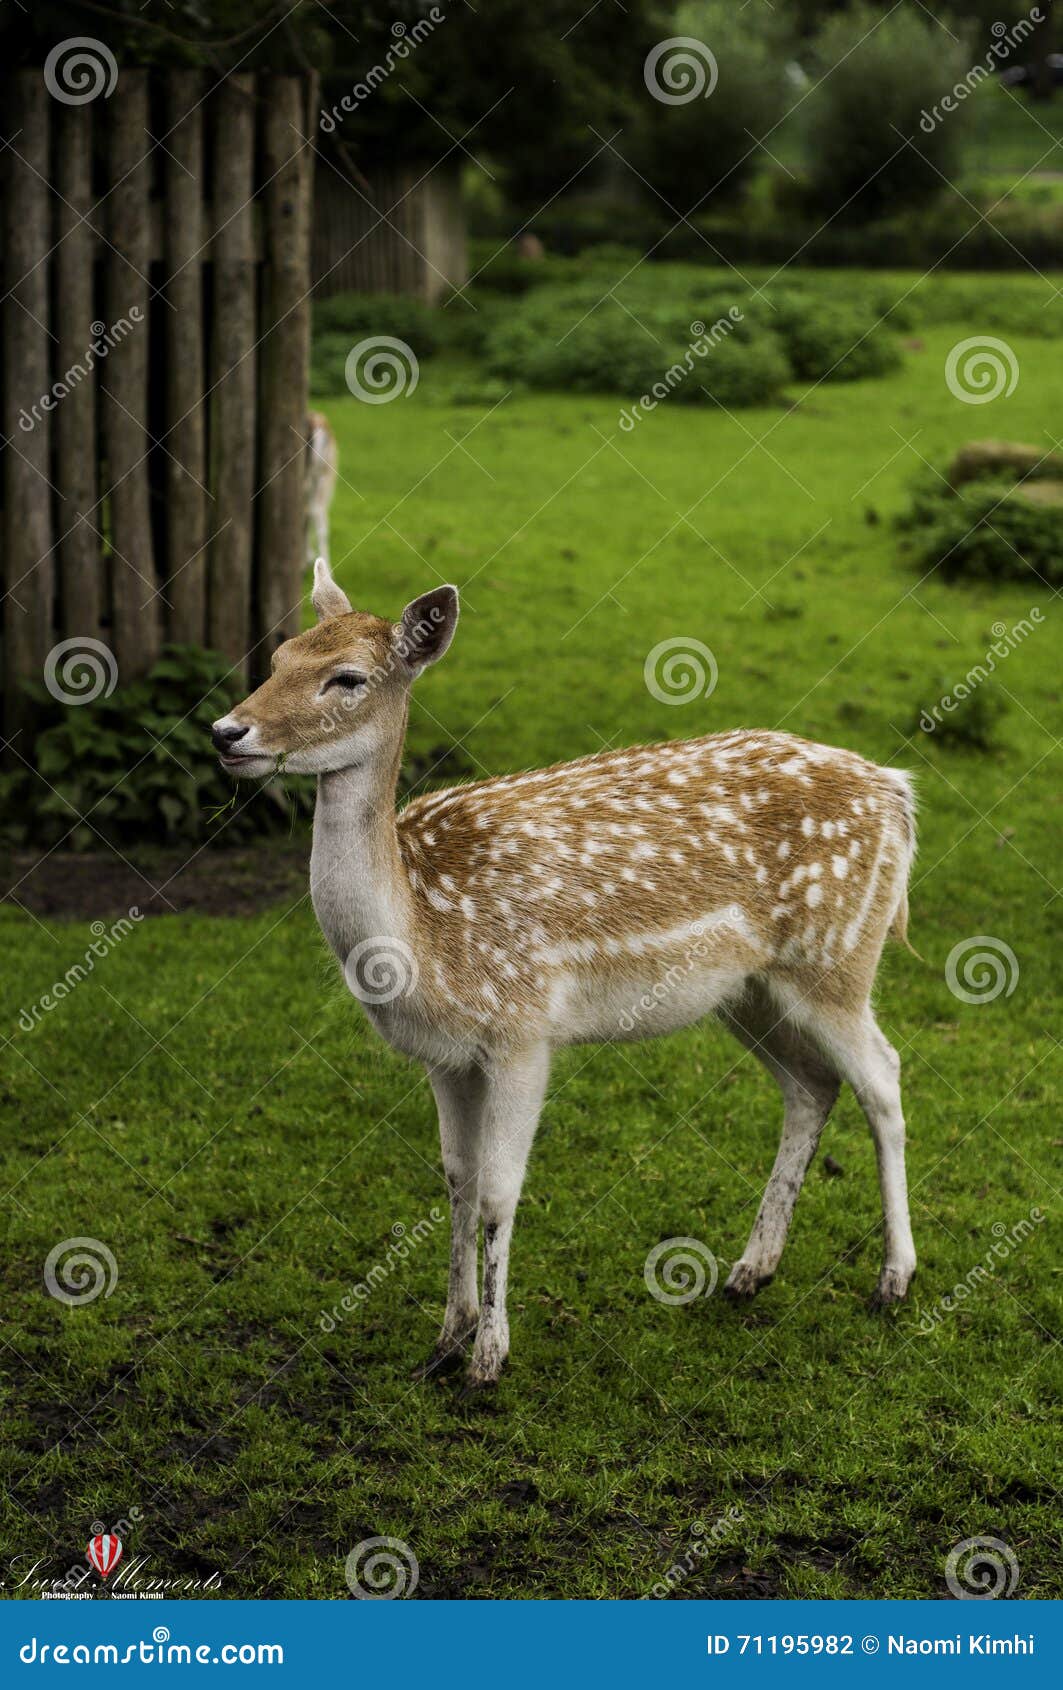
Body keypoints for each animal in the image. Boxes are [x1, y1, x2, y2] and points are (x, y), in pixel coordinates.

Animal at [211, 560, 918, 1395]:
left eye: (346, 677)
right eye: (280, 656)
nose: (227, 732)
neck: (425, 936)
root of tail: (898, 795)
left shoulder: (522, 1030)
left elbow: (497, 1191)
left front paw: (488, 1360)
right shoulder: (446, 1058)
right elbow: (454, 1181)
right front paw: (444, 1340)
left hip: (836, 956)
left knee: (882, 1076)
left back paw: (892, 1279)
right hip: (748, 991)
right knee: (811, 1084)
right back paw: (750, 1271)